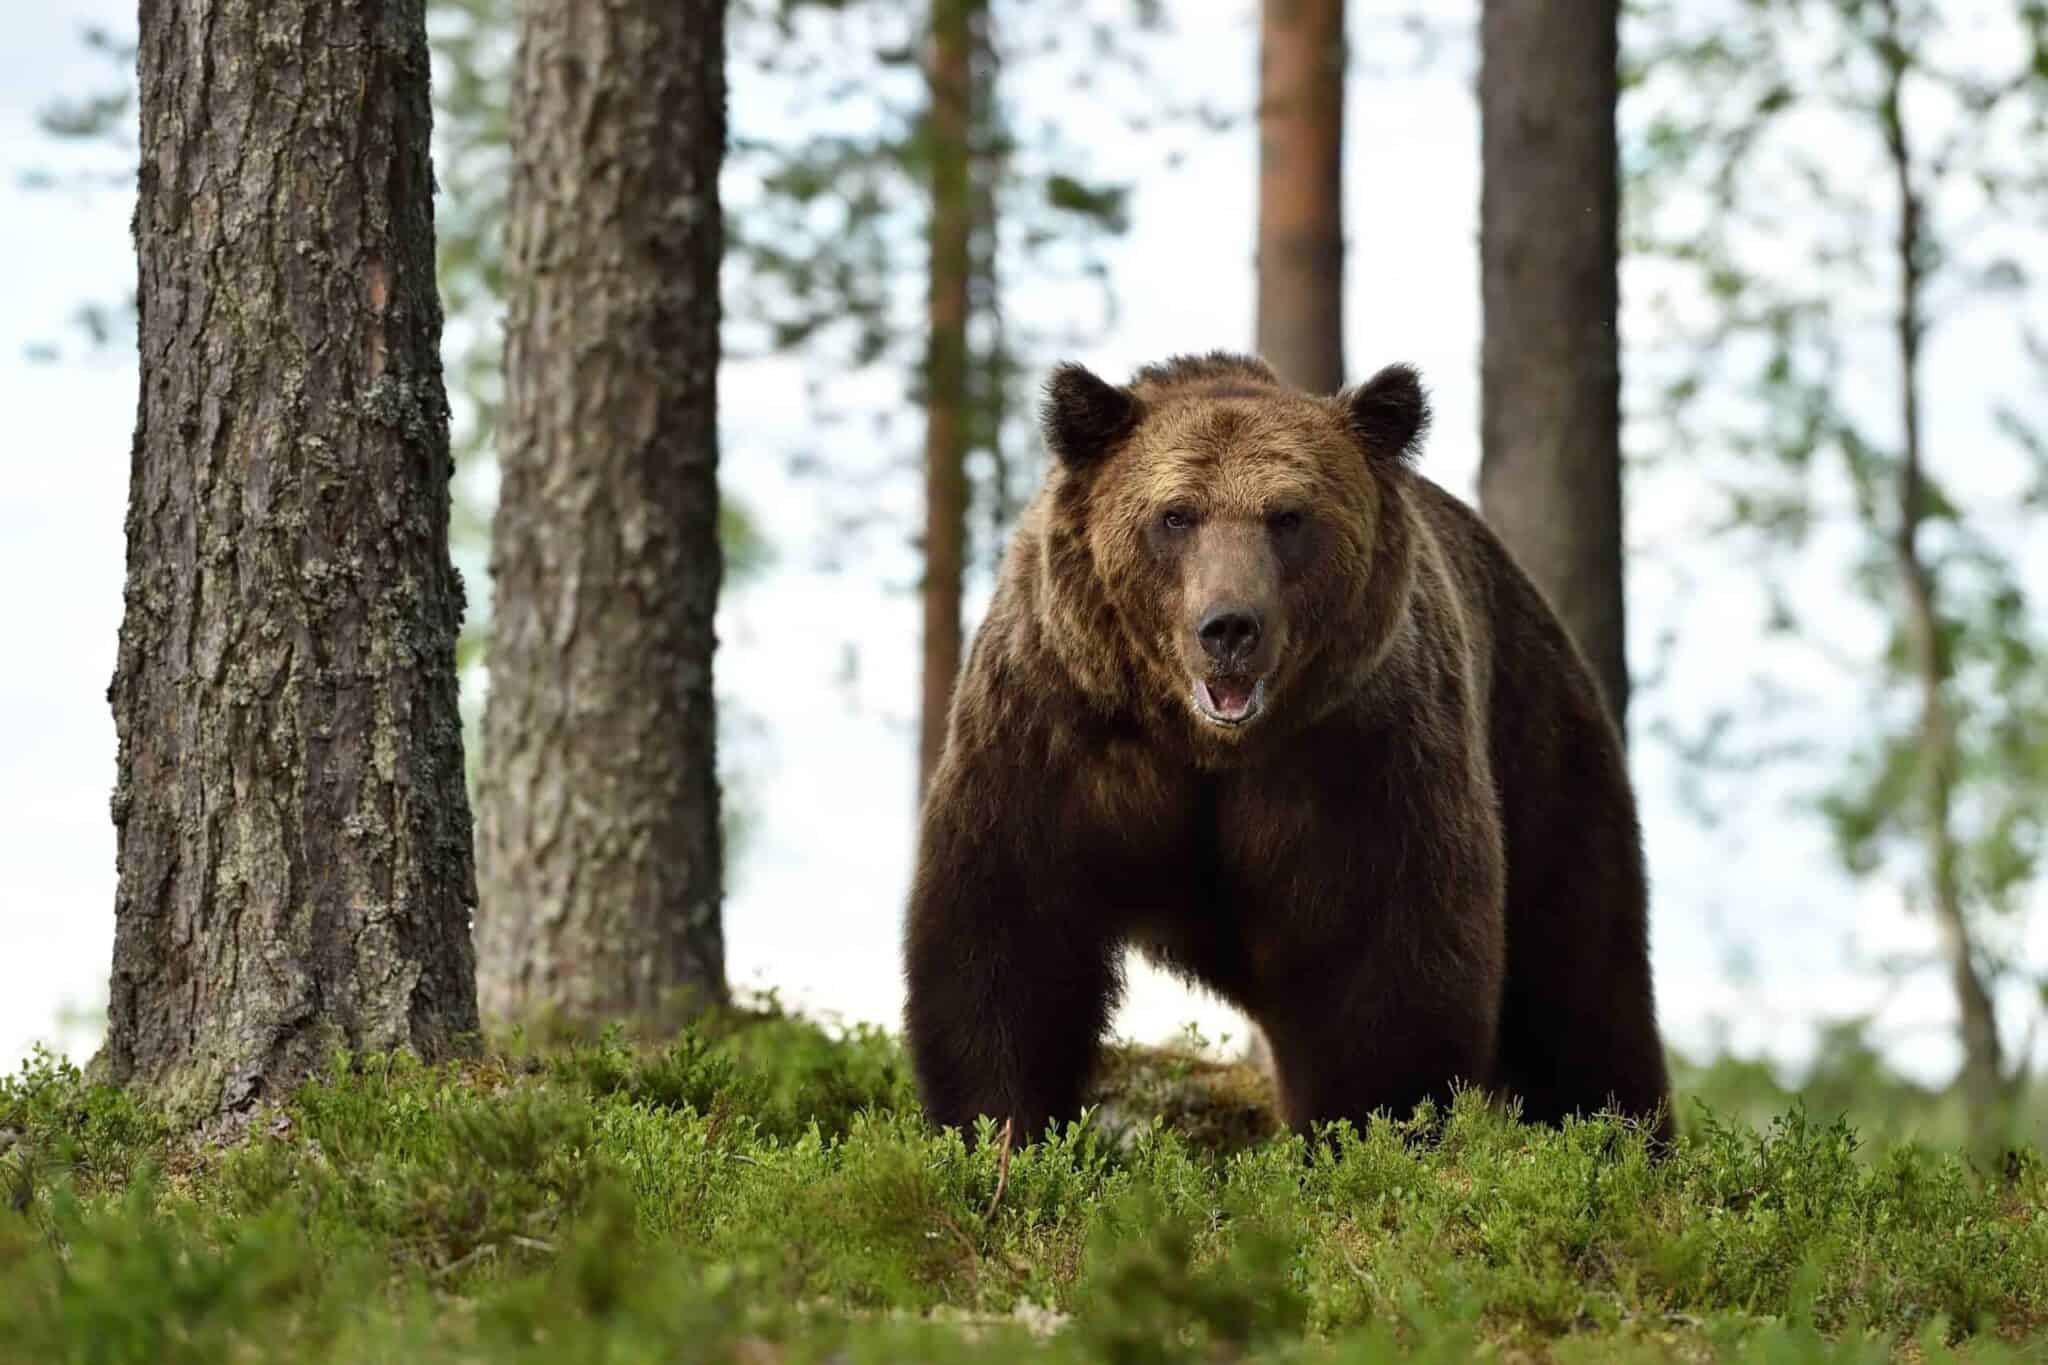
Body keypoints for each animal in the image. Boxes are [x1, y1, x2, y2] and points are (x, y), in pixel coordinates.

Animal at [902, 351, 1672, 1147]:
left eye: (1289, 516)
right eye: (1175, 514)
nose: (1229, 627)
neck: (1207, 746)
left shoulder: (1362, 759)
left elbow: (1385, 973)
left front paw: (1364, 1131)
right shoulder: (1055, 733)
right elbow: (1006, 941)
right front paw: (1001, 1132)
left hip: (1536, 739)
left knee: (1580, 972)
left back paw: (1620, 1134)